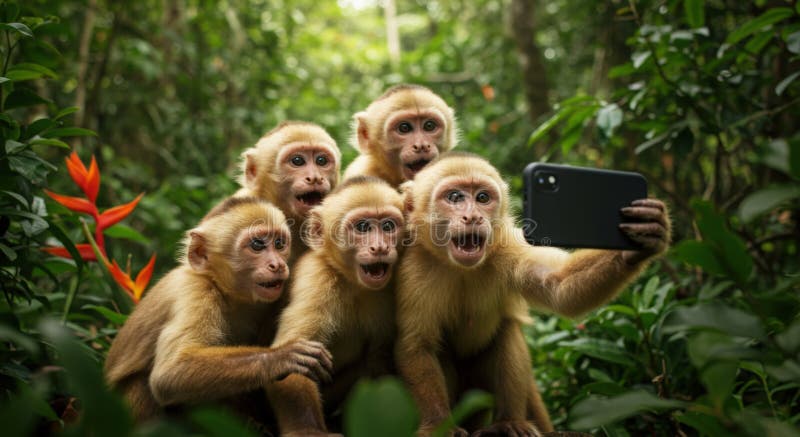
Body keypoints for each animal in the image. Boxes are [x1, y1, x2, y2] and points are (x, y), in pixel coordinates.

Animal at [104, 196, 334, 423]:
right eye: (257, 245)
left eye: (279, 244)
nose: (277, 264)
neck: (224, 289)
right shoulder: (196, 290)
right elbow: (170, 373)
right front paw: (281, 356)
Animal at [265, 176, 405, 436]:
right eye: (363, 228)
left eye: (388, 226)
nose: (380, 247)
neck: (352, 283)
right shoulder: (316, 277)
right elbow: (294, 367)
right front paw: (307, 429)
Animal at [394, 153, 671, 436]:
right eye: (455, 197)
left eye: (482, 198)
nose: (472, 217)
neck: (459, 268)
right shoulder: (415, 268)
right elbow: (417, 346)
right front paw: (440, 426)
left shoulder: (507, 247)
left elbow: (559, 285)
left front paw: (641, 239)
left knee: (506, 331)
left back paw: (509, 422)